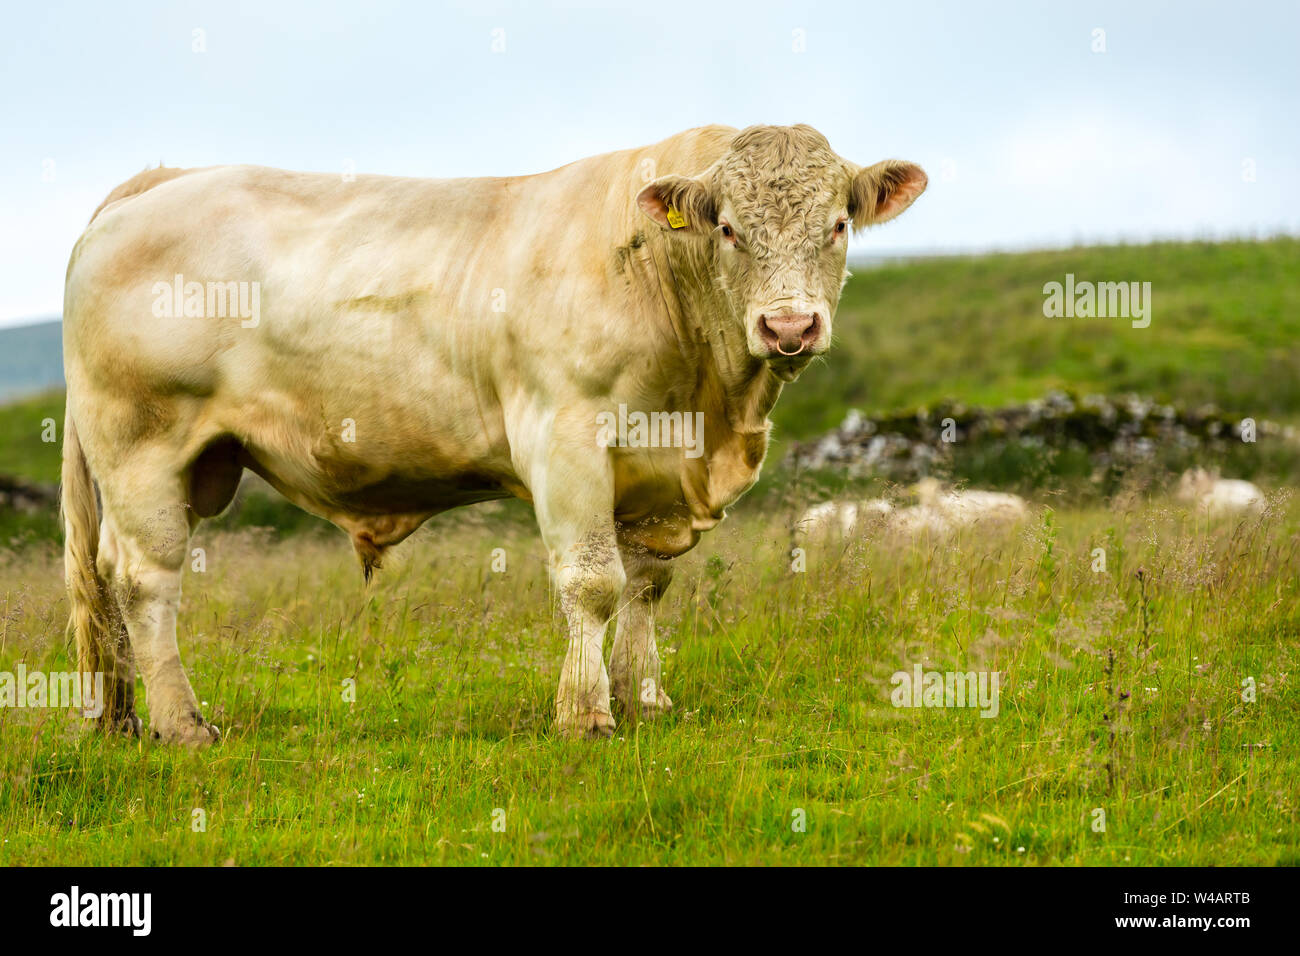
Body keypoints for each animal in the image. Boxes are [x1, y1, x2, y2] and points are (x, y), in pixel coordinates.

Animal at [60, 124, 927, 743]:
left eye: (838, 224)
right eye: (730, 230)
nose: (790, 326)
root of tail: (157, 182)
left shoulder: (654, 473)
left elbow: (646, 587)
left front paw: (645, 699)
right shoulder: (566, 438)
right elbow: (593, 581)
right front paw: (585, 714)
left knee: (112, 577)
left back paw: (128, 718)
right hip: (141, 447)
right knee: (144, 578)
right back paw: (183, 725)